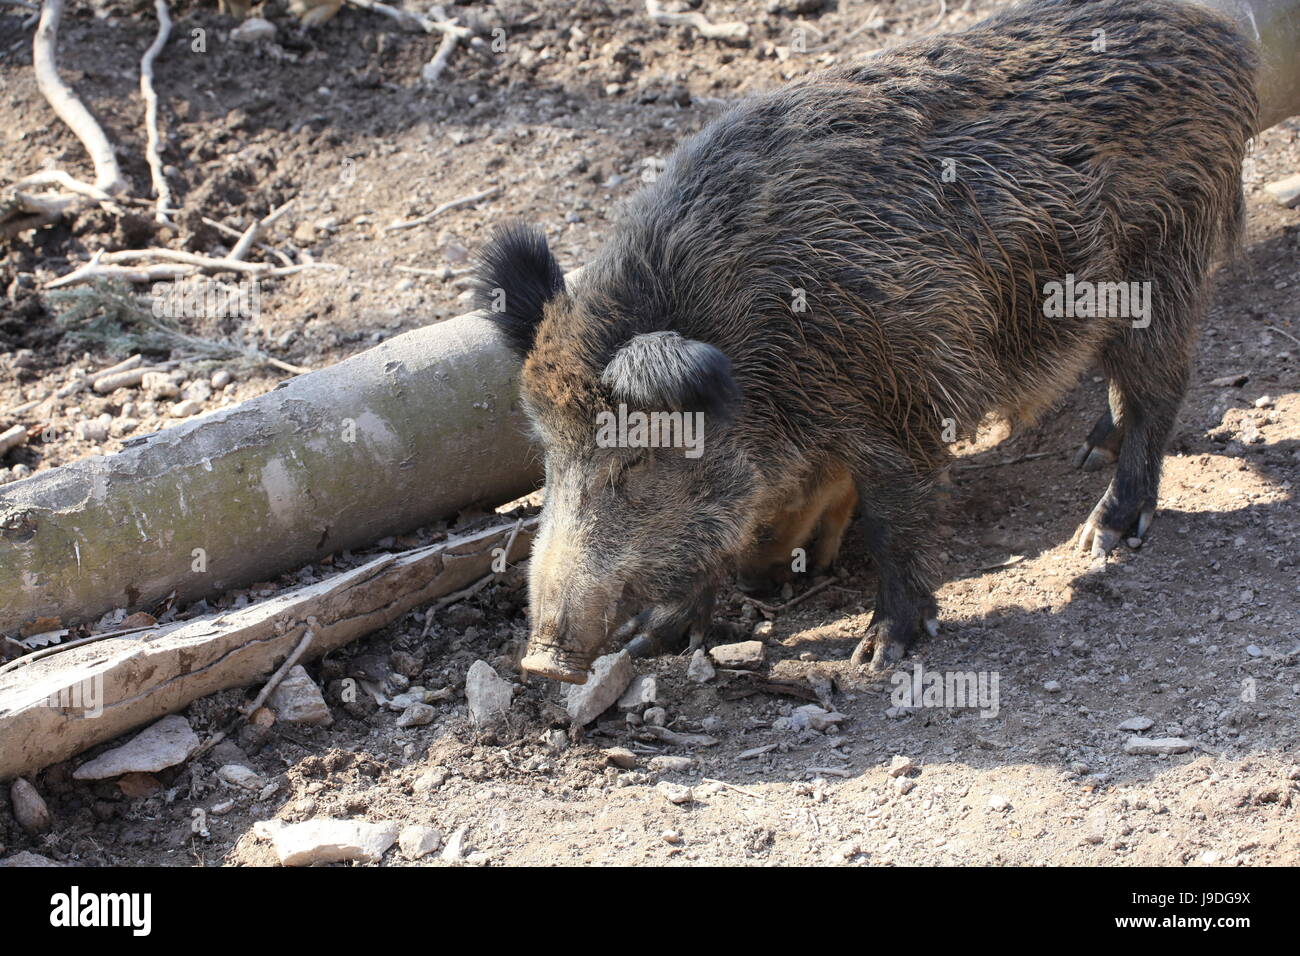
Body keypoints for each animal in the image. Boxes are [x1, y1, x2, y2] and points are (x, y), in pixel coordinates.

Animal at [474, 0, 1258, 682]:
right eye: (549, 455)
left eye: (634, 461)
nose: (540, 661)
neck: (753, 346)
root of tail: (1220, 41)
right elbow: (717, 541)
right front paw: (644, 643)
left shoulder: (897, 401)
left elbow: (894, 521)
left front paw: (879, 655)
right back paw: (1090, 452)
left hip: (1164, 263)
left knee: (1159, 388)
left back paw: (1102, 538)